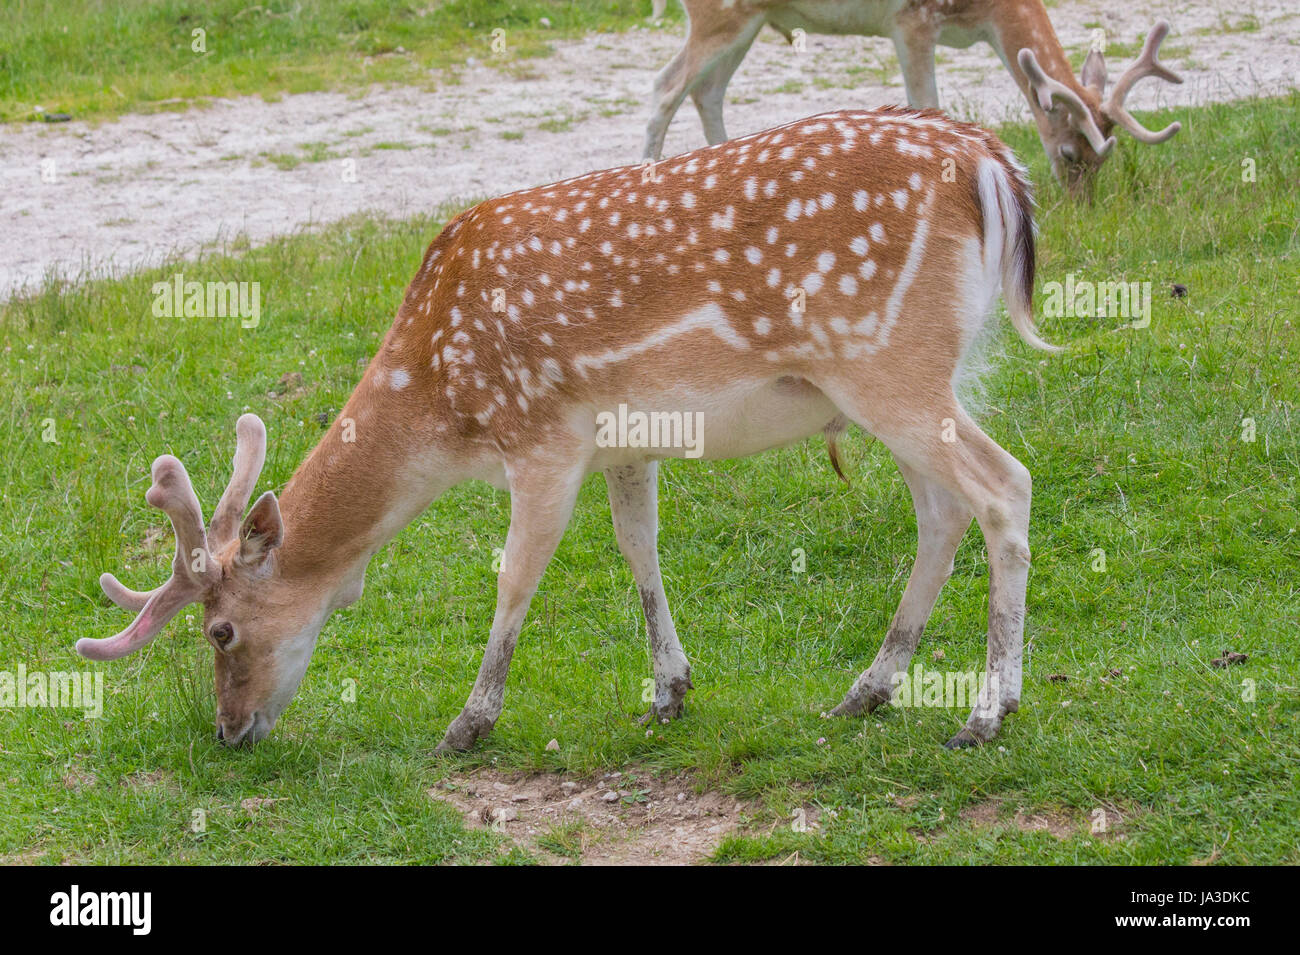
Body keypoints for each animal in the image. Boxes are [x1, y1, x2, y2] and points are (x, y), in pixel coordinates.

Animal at [81, 105, 1055, 752]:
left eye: (220, 631)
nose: (229, 729)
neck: (442, 401)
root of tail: (993, 166)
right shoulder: (623, 442)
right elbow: (638, 545)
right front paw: (670, 691)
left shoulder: (540, 432)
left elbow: (516, 573)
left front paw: (468, 720)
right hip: (896, 381)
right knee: (944, 510)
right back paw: (868, 690)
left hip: (887, 361)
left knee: (1005, 485)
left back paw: (986, 711)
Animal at [644, 1, 1183, 199]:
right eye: (1070, 154)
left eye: (1102, 161)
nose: (1081, 204)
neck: (986, 17)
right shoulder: (913, 21)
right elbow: (926, 99)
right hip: (719, 15)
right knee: (666, 85)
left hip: (748, 20)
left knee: (707, 89)